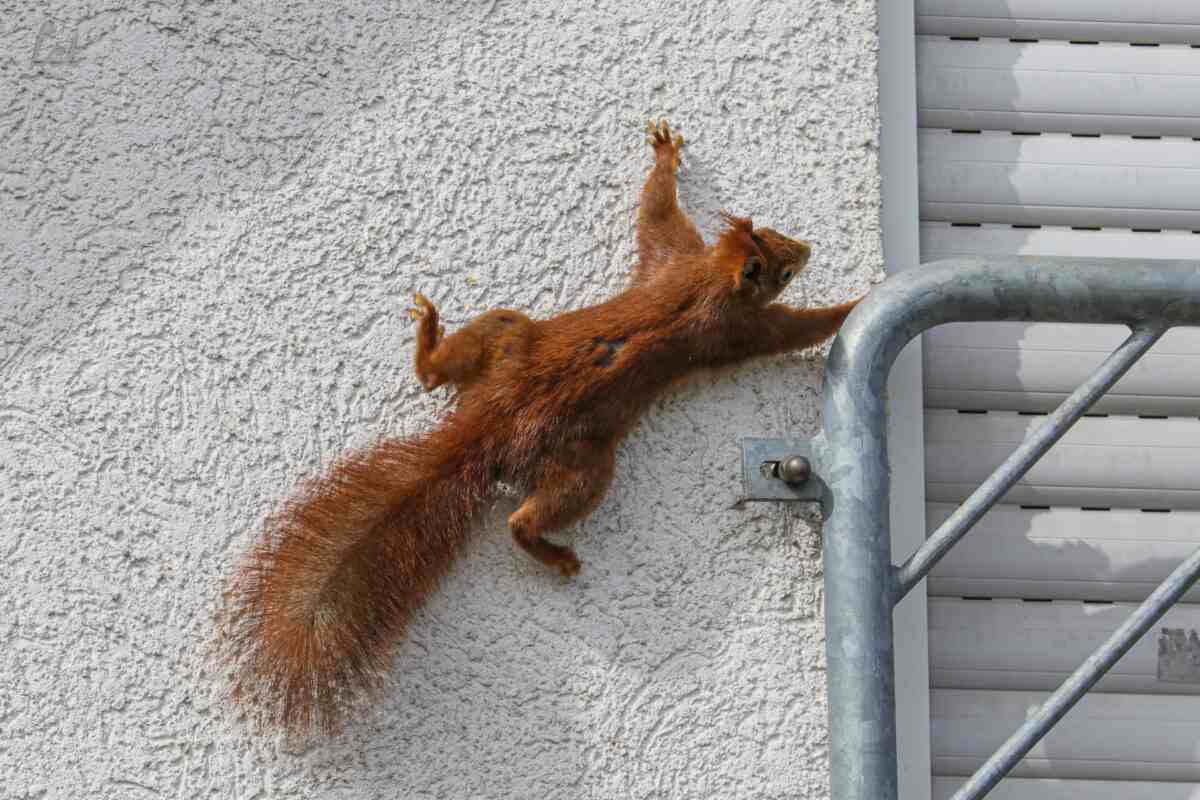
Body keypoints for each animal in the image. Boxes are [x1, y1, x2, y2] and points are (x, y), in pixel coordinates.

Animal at [224, 120, 863, 736]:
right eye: (784, 268)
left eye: (778, 234)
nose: (806, 247)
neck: (707, 280)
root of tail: (489, 425)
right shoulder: (733, 330)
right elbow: (791, 327)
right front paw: (852, 304)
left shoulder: (673, 256)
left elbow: (656, 213)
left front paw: (663, 153)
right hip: (584, 466)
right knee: (527, 517)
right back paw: (552, 552)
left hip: (507, 335)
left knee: (443, 370)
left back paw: (429, 344)